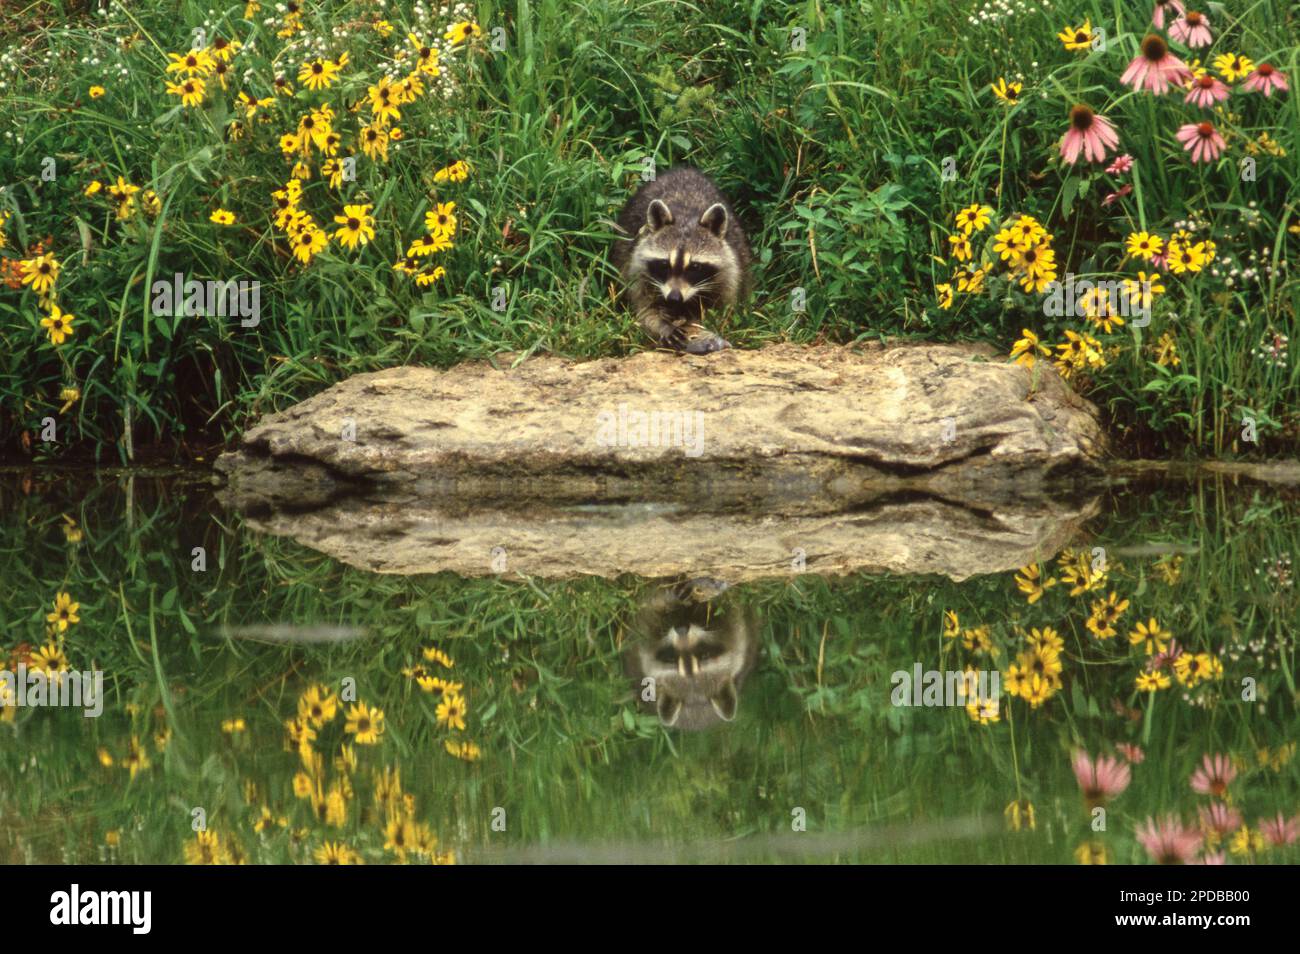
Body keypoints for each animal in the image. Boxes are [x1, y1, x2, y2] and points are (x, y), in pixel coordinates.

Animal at [611, 167, 752, 354]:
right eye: (664, 264)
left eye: (695, 266)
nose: (674, 298)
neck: (685, 218)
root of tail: (684, 169)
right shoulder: (637, 267)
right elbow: (644, 309)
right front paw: (663, 326)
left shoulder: (728, 273)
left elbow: (720, 311)